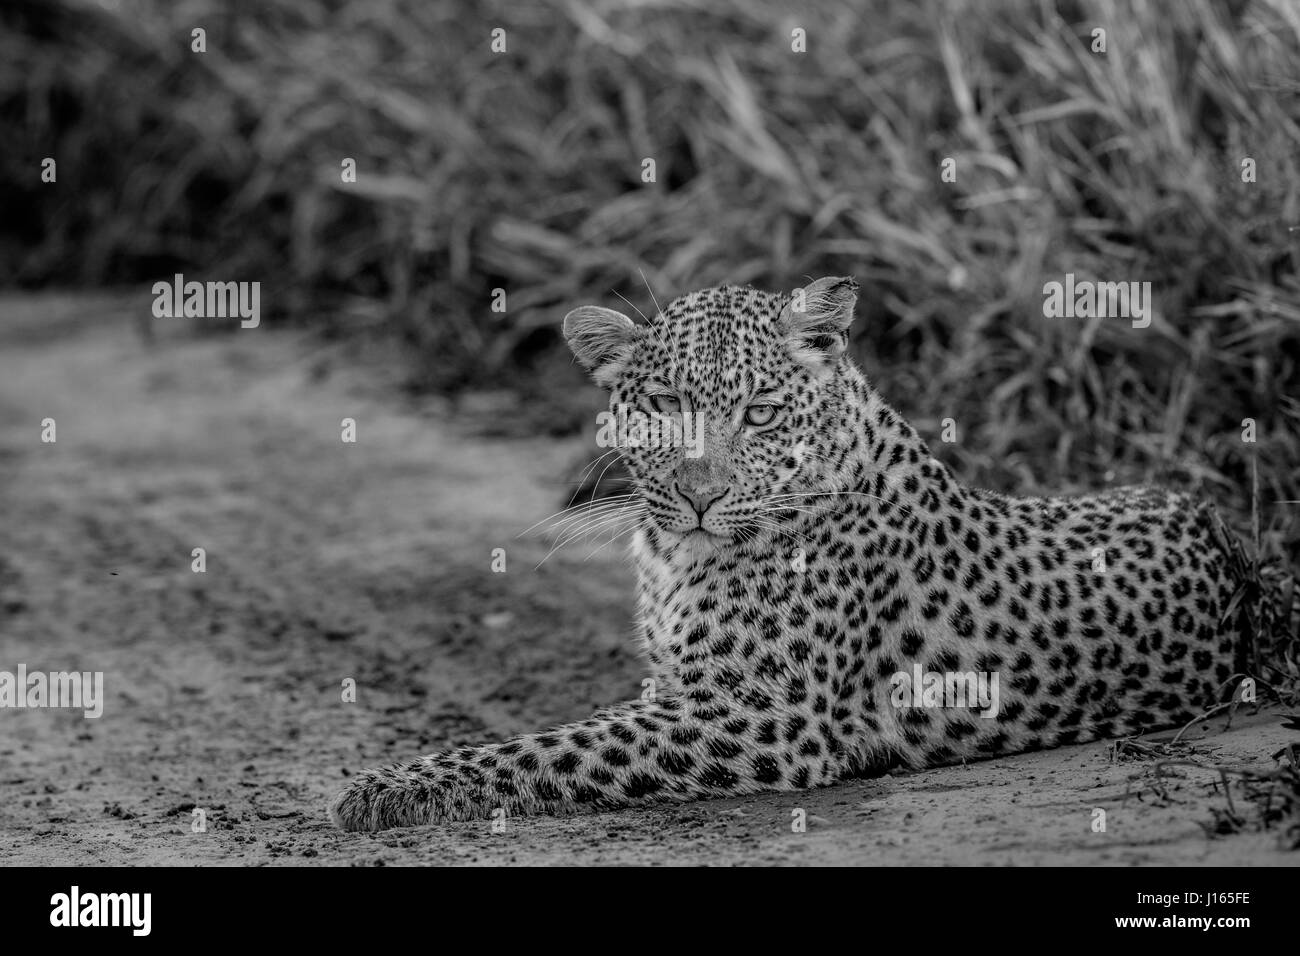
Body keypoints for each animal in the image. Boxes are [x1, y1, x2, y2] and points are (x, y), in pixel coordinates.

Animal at [330, 275, 1291, 831]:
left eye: (759, 414)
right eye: (665, 409)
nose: (701, 494)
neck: (673, 556)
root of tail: (1219, 526)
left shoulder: (757, 715)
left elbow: (545, 749)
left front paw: (383, 787)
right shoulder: (679, 689)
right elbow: (565, 735)